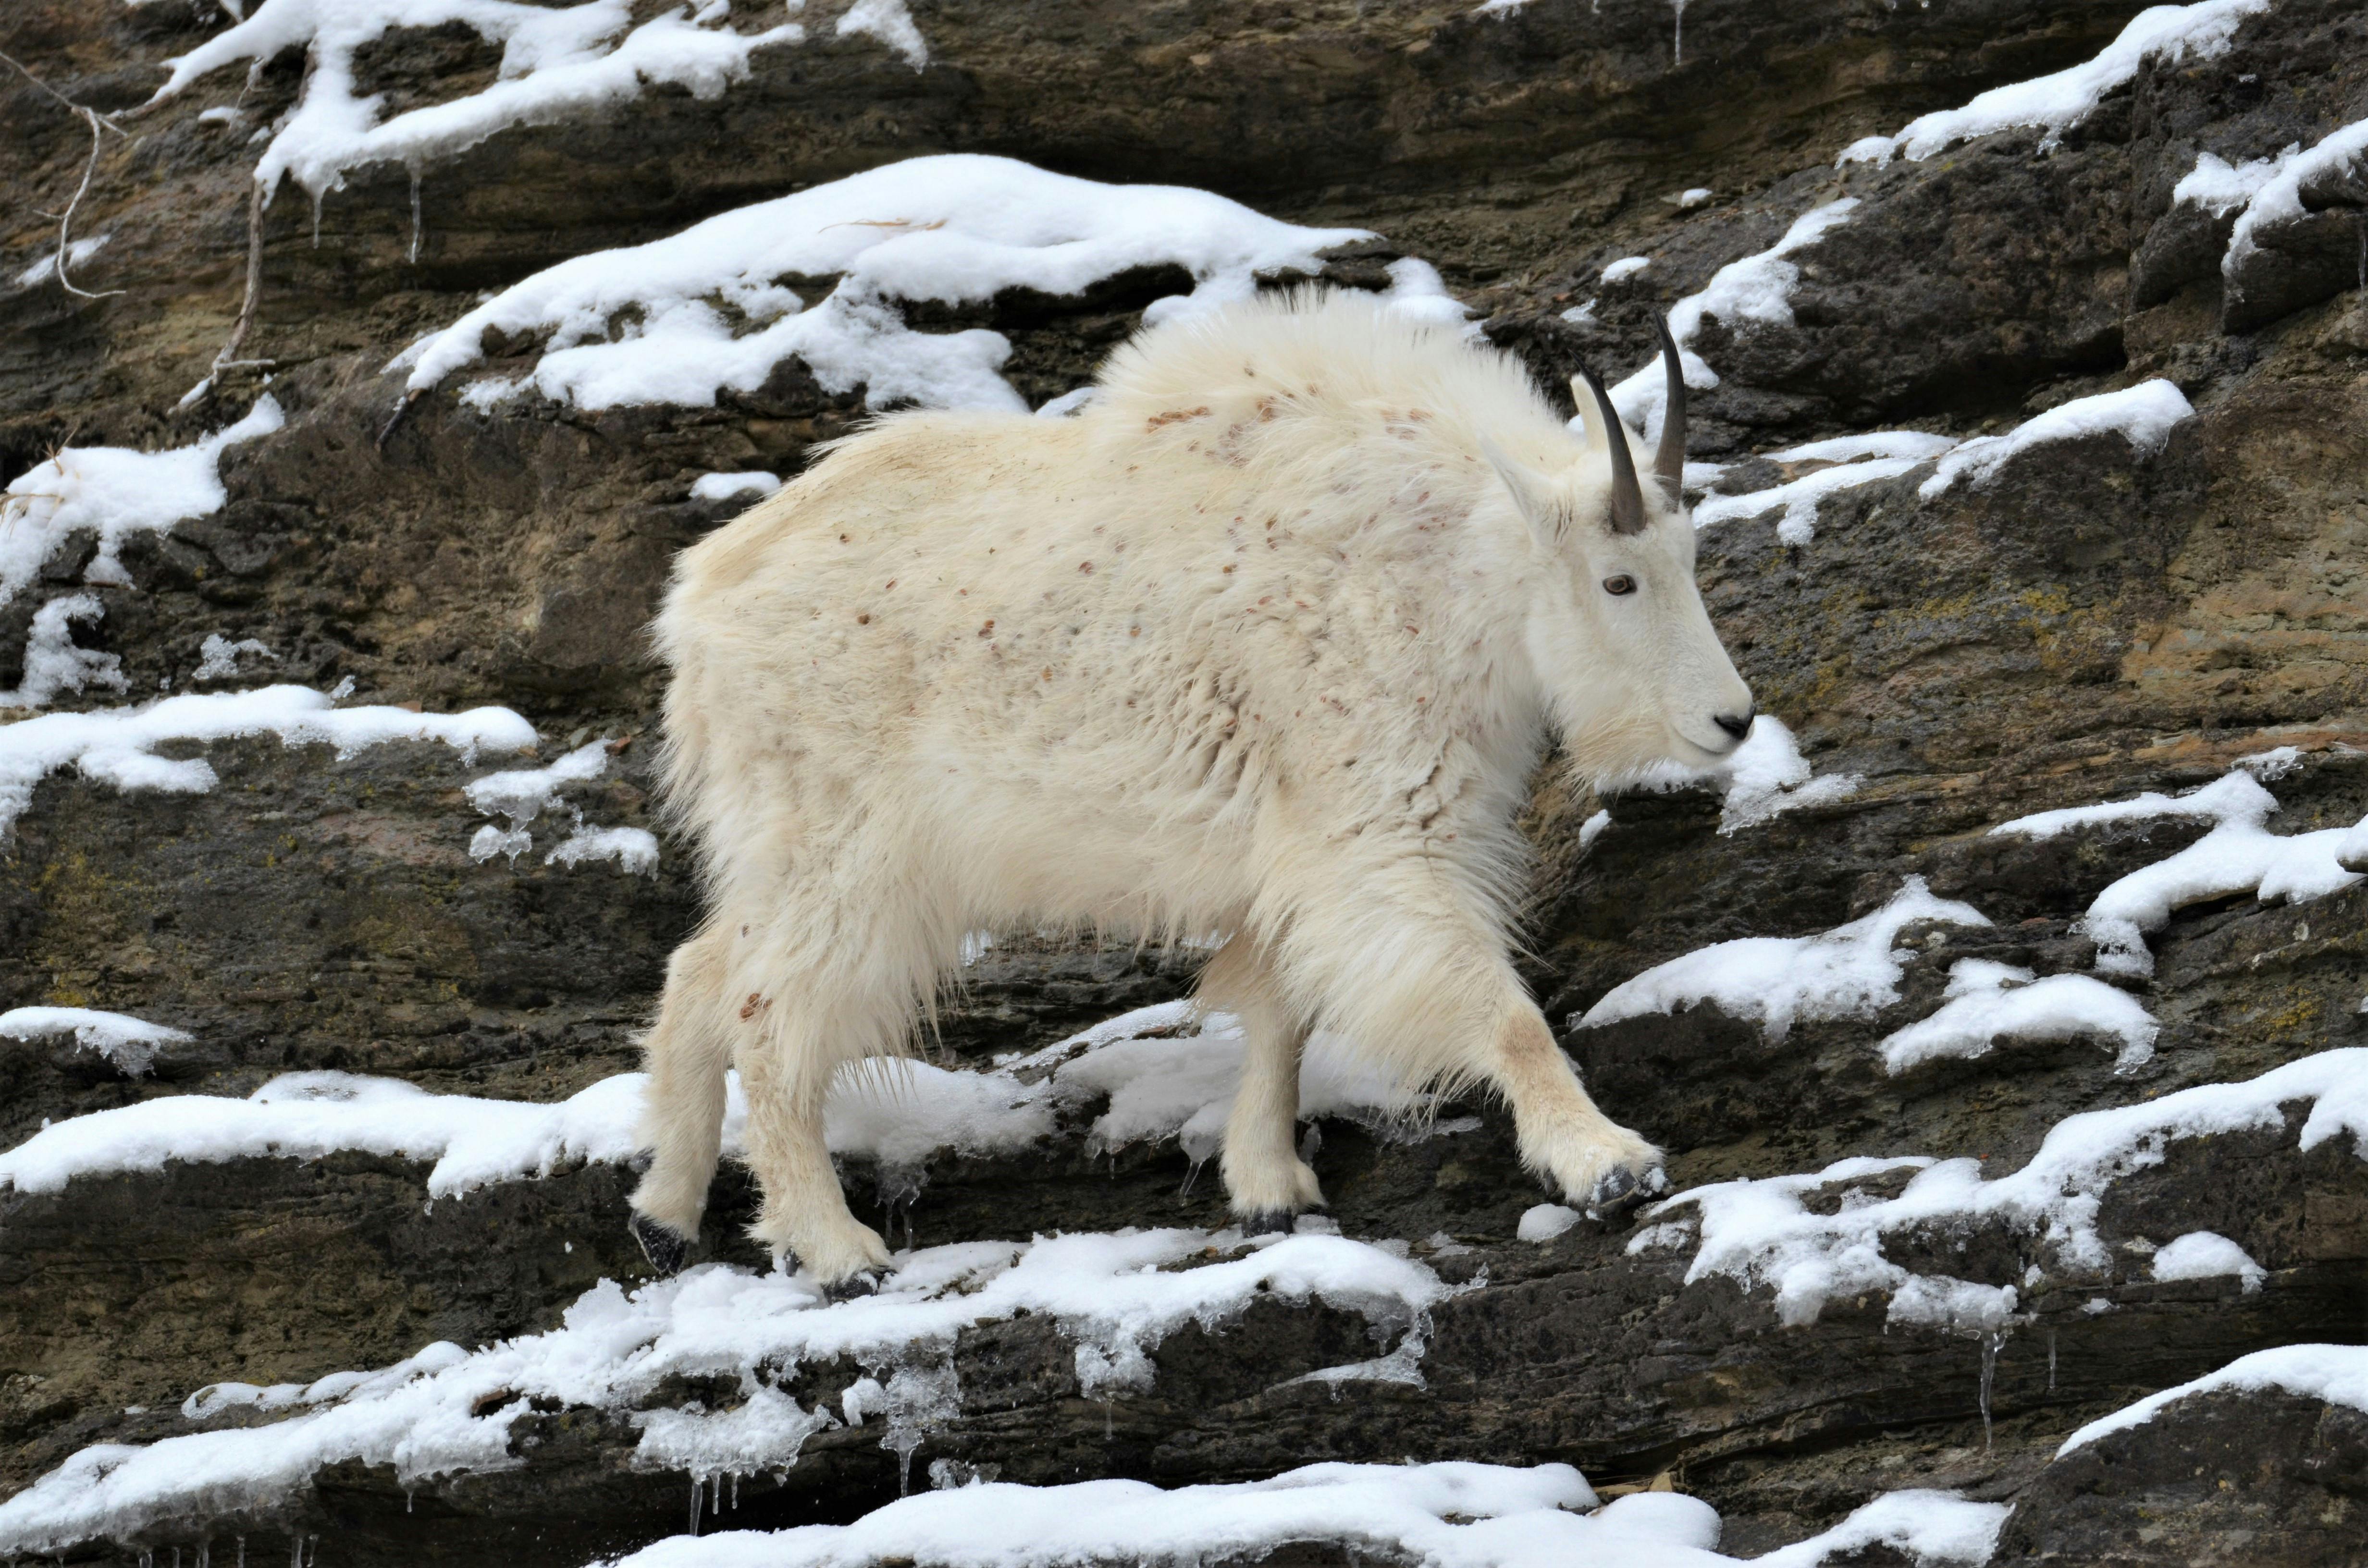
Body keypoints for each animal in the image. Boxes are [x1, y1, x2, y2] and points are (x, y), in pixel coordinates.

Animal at [628, 291, 1754, 1288]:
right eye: (1616, 578)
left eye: (1688, 557)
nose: (1730, 720)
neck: (1440, 579)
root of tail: (697, 605)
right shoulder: (1374, 832)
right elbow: (1498, 1010)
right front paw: (1608, 1162)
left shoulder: (1292, 853)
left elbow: (1280, 1012)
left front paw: (1268, 1186)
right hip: (848, 853)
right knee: (771, 1018)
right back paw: (833, 1248)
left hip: (787, 853)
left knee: (698, 972)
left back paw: (665, 1216)